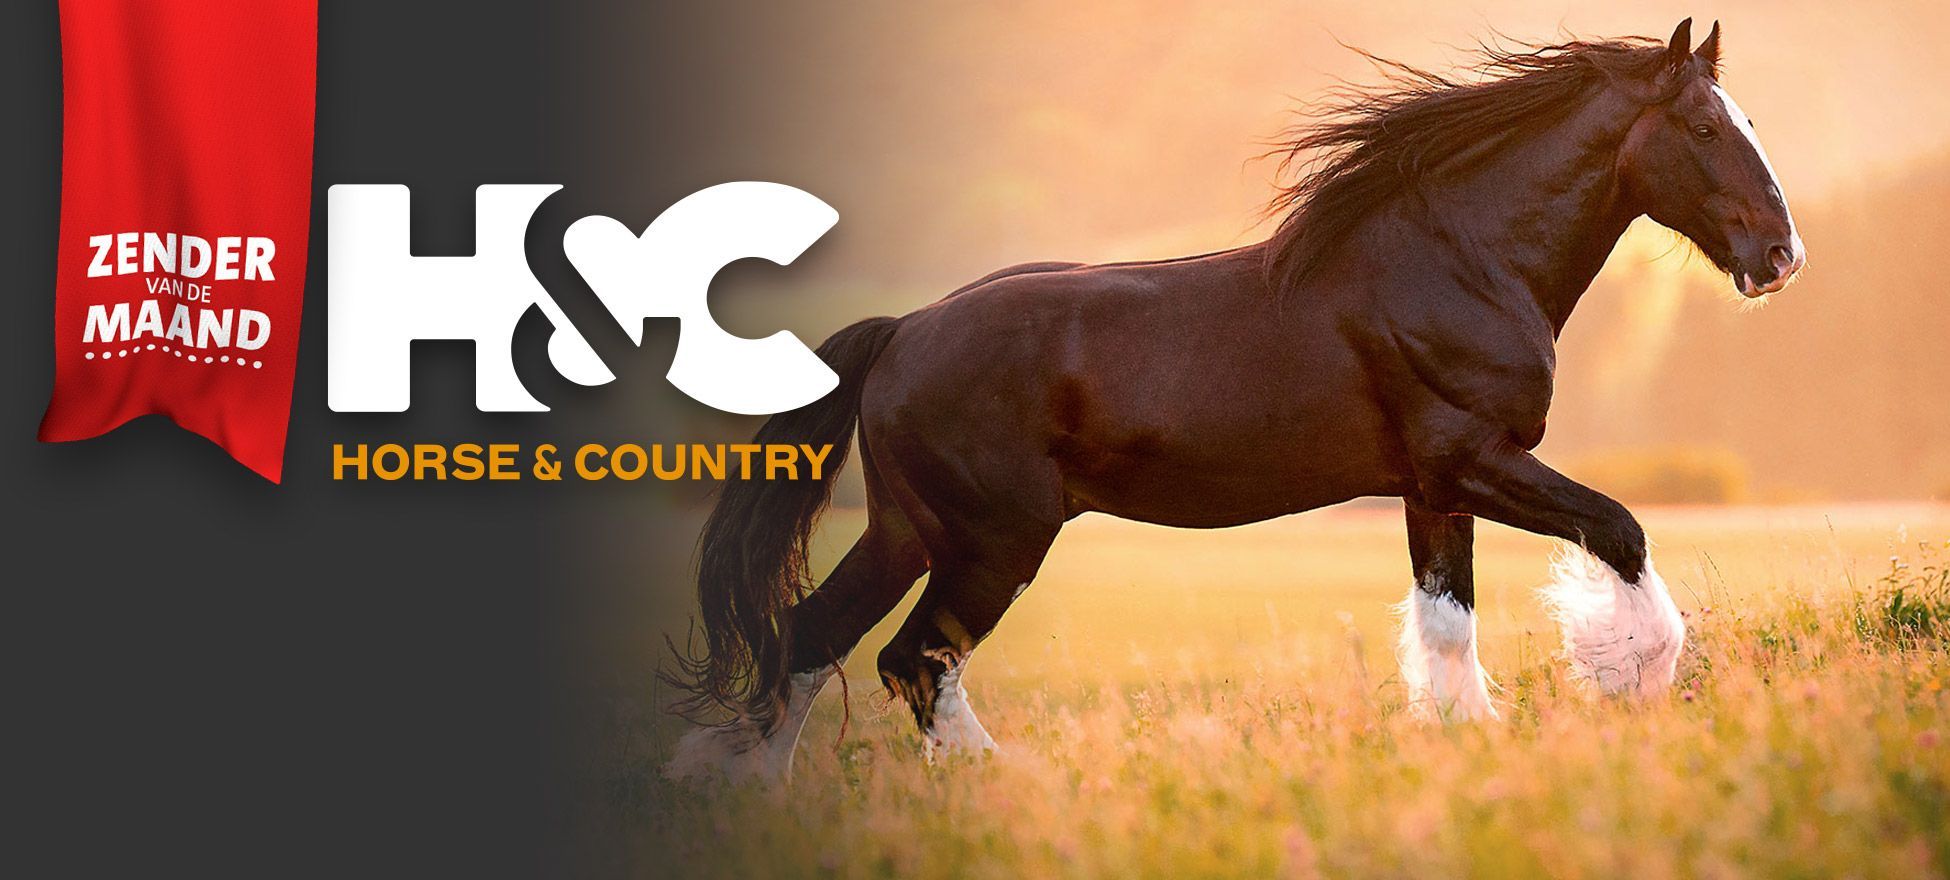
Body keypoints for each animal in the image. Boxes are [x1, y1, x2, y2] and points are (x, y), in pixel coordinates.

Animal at [665, 18, 1806, 783]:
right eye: (1706, 126)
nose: (1782, 256)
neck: (1463, 261)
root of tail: (901, 332)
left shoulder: (1432, 486)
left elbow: (1448, 626)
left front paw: (1469, 749)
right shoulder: (1476, 459)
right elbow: (1620, 529)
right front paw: (1630, 685)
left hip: (908, 529)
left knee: (810, 640)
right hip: (992, 541)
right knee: (911, 661)